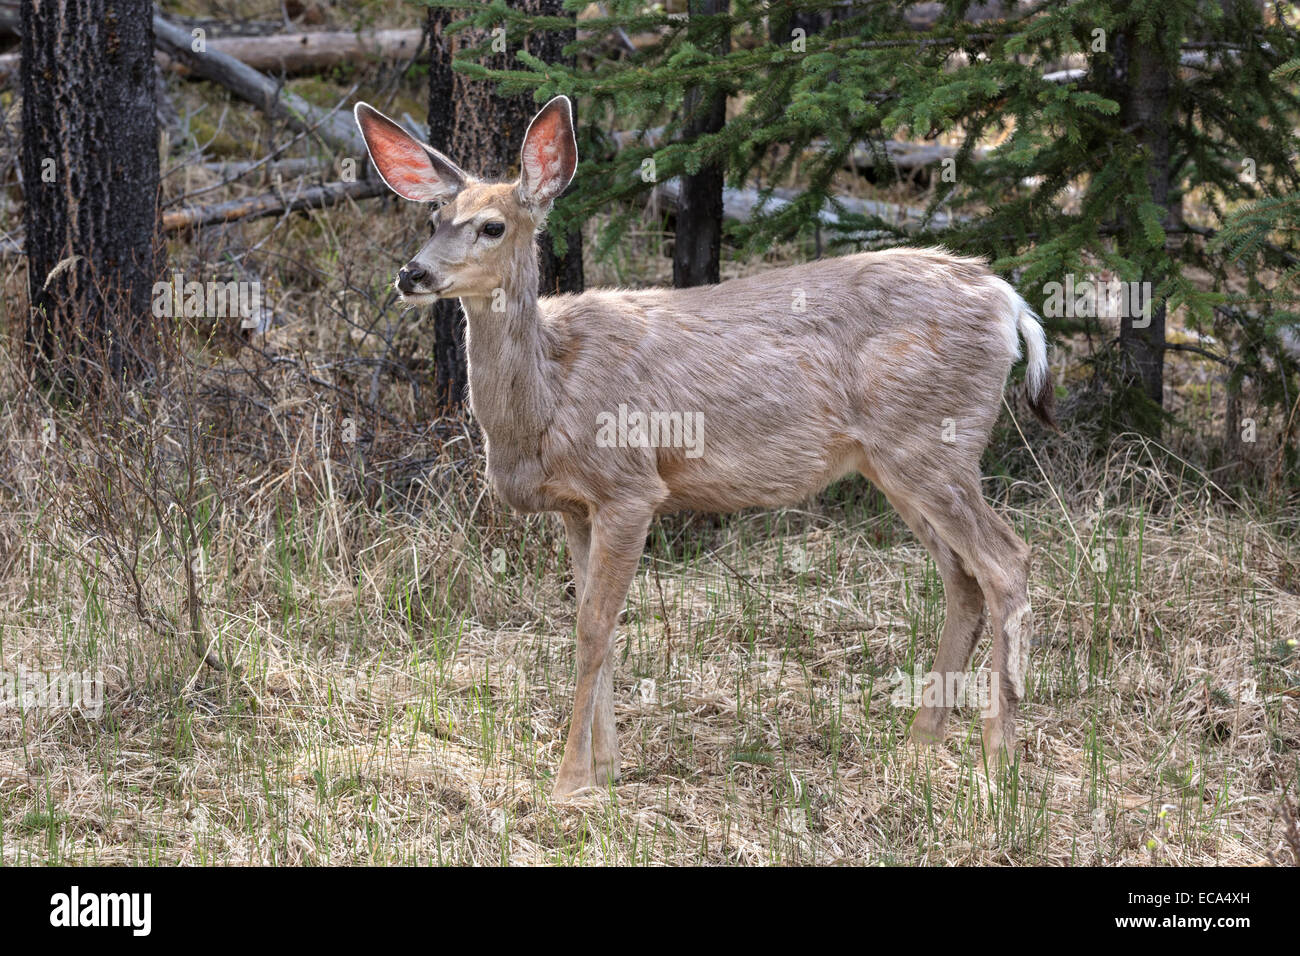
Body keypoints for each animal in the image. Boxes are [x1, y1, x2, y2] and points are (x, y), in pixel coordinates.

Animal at [354, 95, 1056, 799]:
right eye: (434, 217)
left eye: (493, 226)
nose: (412, 273)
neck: (549, 395)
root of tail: (1010, 303)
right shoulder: (576, 506)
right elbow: (592, 621)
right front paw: (605, 768)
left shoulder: (629, 486)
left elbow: (593, 627)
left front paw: (569, 780)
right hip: (898, 460)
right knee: (963, 578)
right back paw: (919, 744)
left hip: (932, 443)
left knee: (1007, 561)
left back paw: (997, 761)